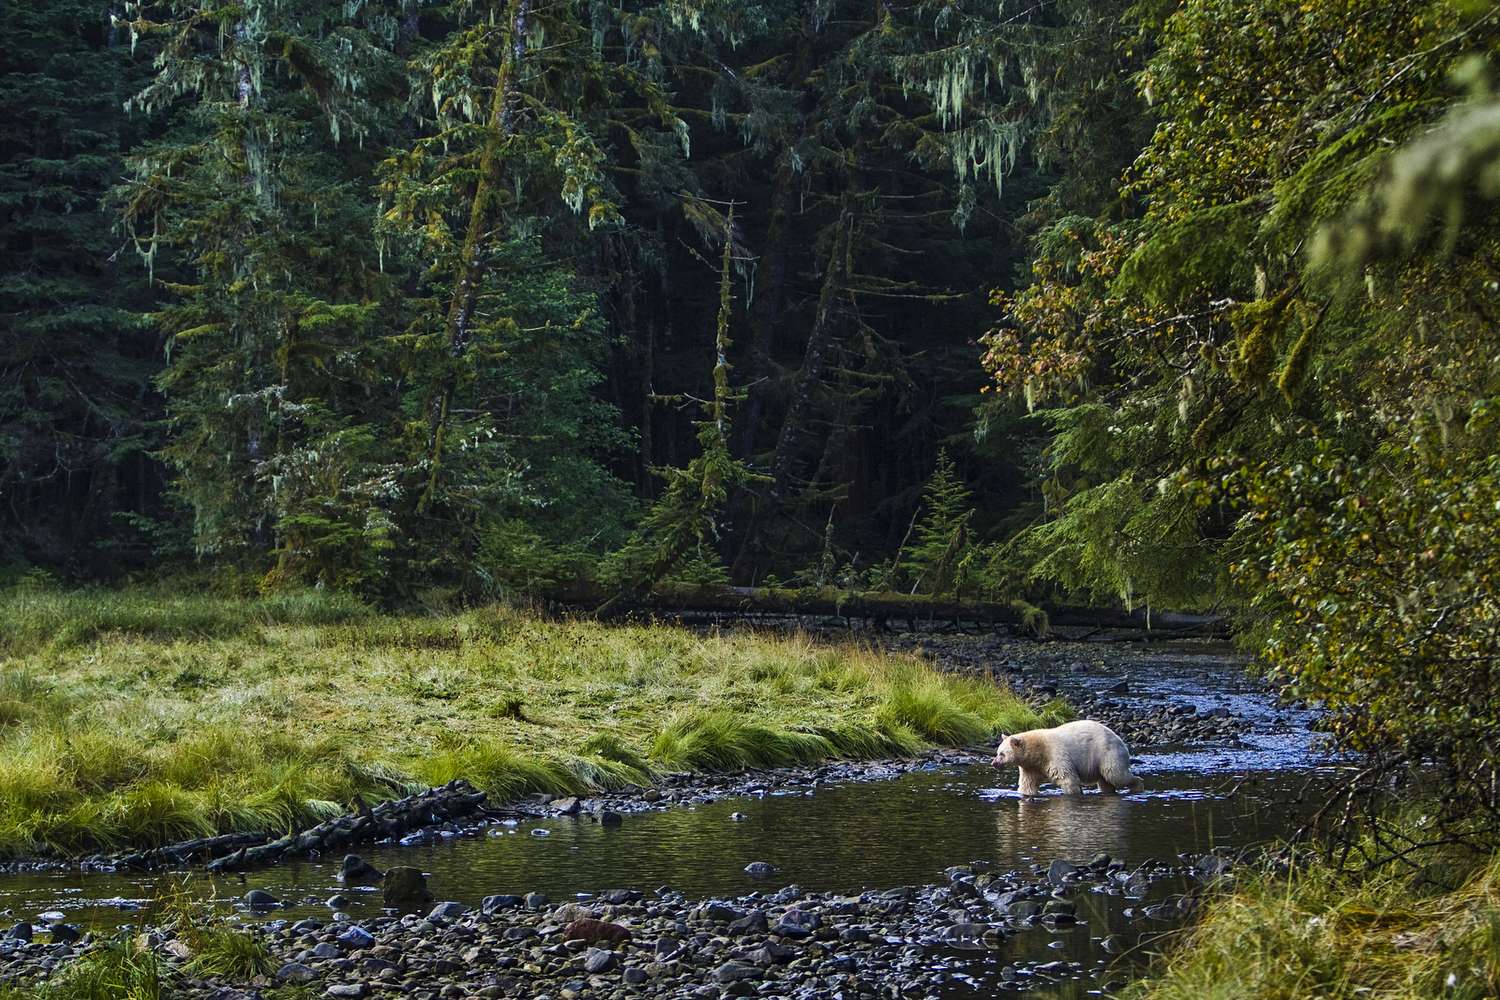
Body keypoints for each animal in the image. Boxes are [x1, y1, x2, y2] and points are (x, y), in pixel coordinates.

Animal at [991, 719, 1144, 796]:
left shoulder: (1056, 755)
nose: (993, 763)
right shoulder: (1030, 767)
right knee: (1106, 781)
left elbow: (1067, 778)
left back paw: (1138, 785)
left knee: (1116, 775)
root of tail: (1120, 740)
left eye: (1002, 754)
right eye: (997, 752)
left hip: (1108, 753)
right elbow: (1027, 784)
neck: (1038, 750)